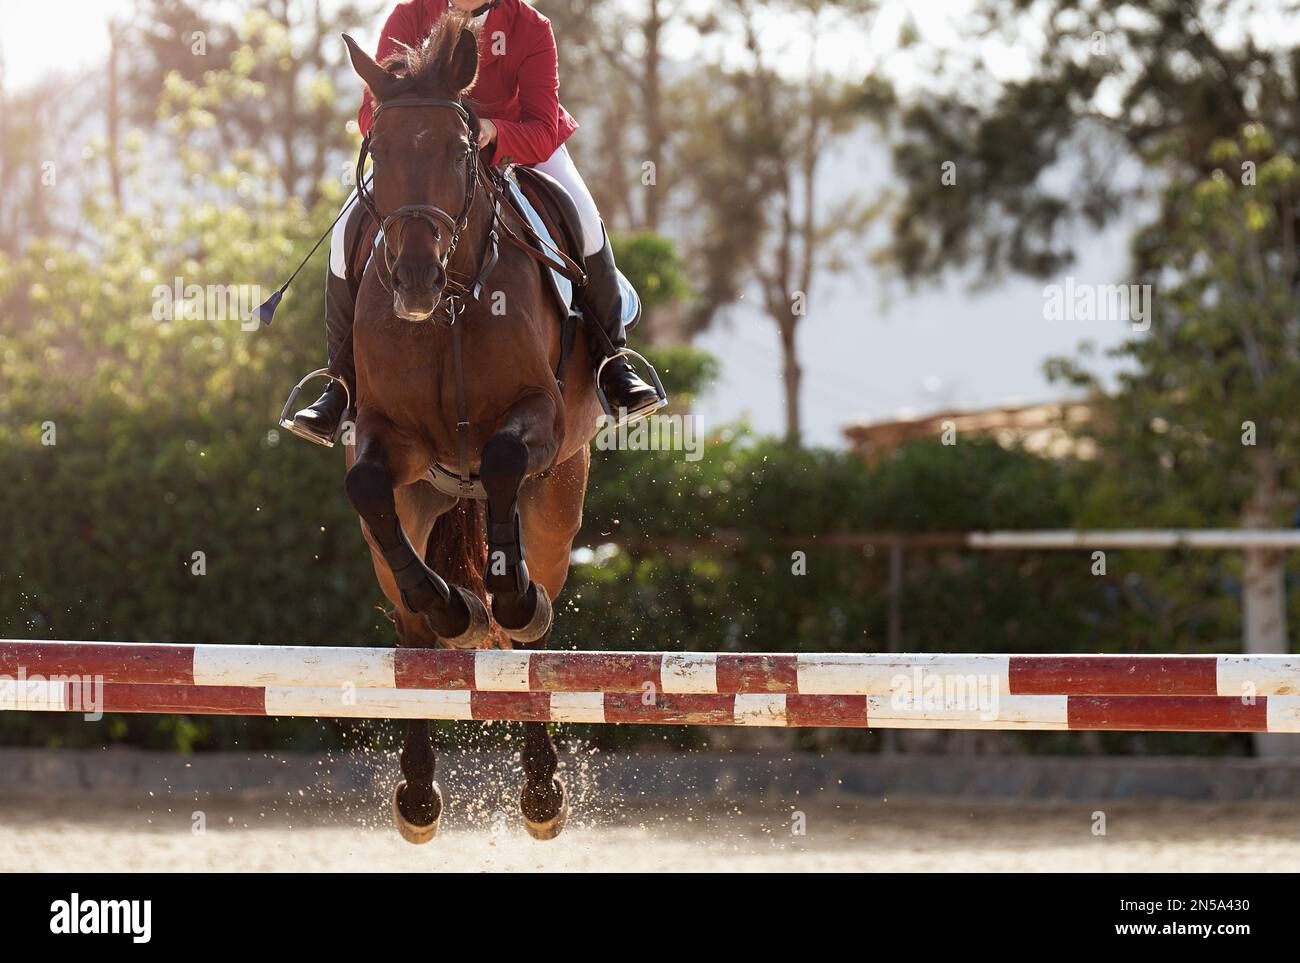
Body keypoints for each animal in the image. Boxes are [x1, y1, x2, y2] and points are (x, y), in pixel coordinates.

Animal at [338, 14, 601, 842]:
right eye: (380, 150)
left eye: (459, 152)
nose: (412, 280)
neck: (455, 300)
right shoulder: (389, 438)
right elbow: (366, 481)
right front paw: (455, 603)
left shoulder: (541, 415)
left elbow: (506, 455)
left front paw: (505, 595)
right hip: (417, 504)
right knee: (410, 631)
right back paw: (419, 789)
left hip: (559, 500)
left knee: (532, 640)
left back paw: (541, 790)